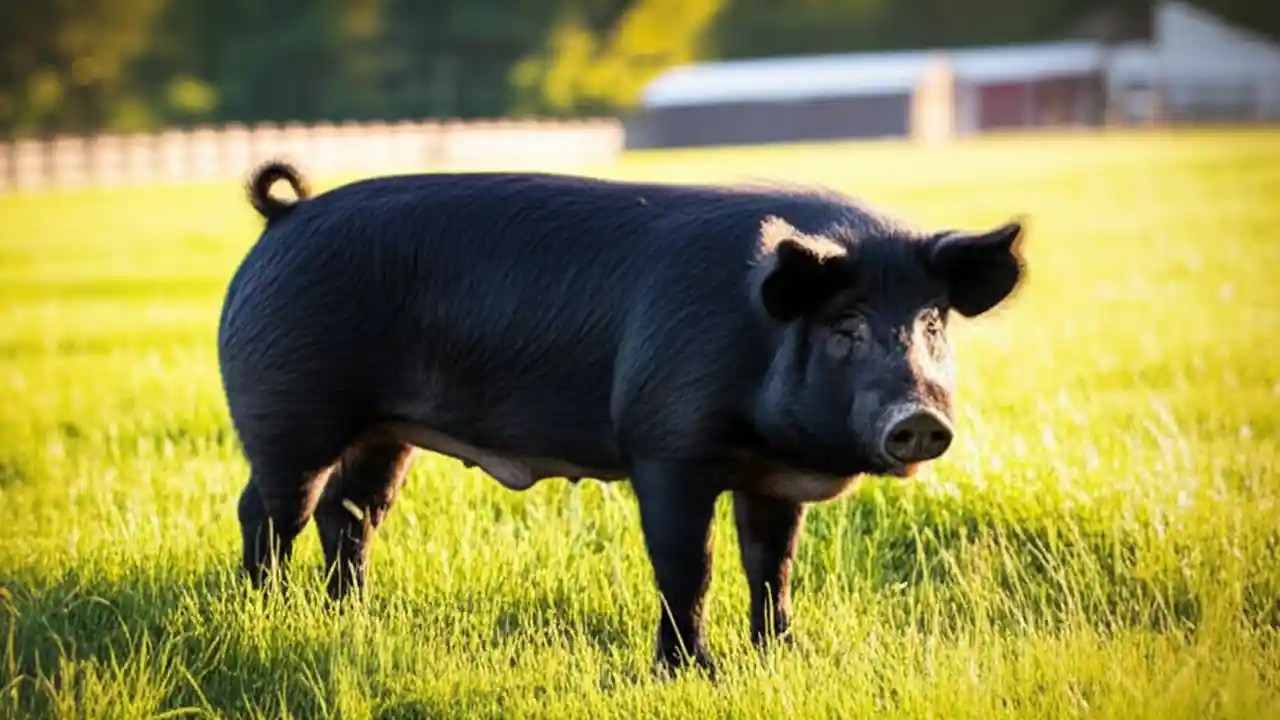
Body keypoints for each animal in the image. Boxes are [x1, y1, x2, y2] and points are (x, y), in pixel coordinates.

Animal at [219, 161, 1024, 672]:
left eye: (932, 322)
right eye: (846, 327)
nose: (919, 418)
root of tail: (284, 215)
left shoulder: (769, 479)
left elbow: (773, 564)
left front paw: (785, 655)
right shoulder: (667, 444)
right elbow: (688, 563)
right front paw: (694, 673)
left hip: (385, 433)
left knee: (351, 512)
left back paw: (349, 616)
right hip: (286, 406)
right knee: (271, 507)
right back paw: (268, 615)